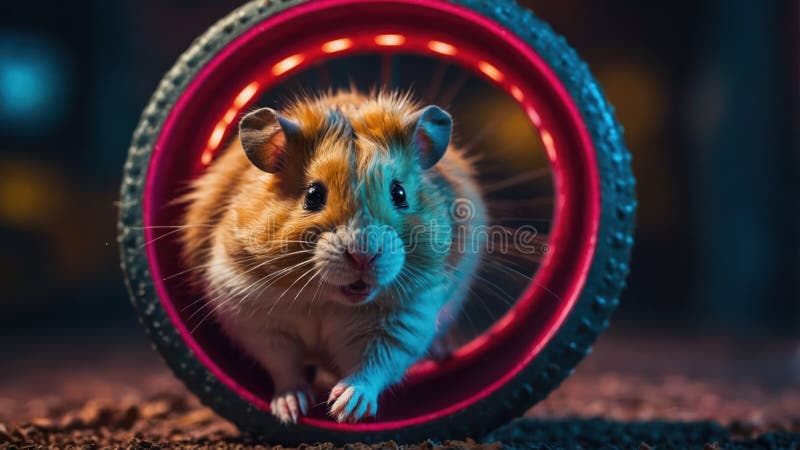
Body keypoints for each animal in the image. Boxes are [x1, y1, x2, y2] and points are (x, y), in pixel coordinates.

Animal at [180, 90, 487, 424]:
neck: (326, 298)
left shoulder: (403, 321)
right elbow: (283, 366)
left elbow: (373, 366)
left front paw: (344, 408)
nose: (364, 255)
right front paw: (290, 410)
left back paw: (445, 351)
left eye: (399, 193)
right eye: (313, 195)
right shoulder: (252, 316)